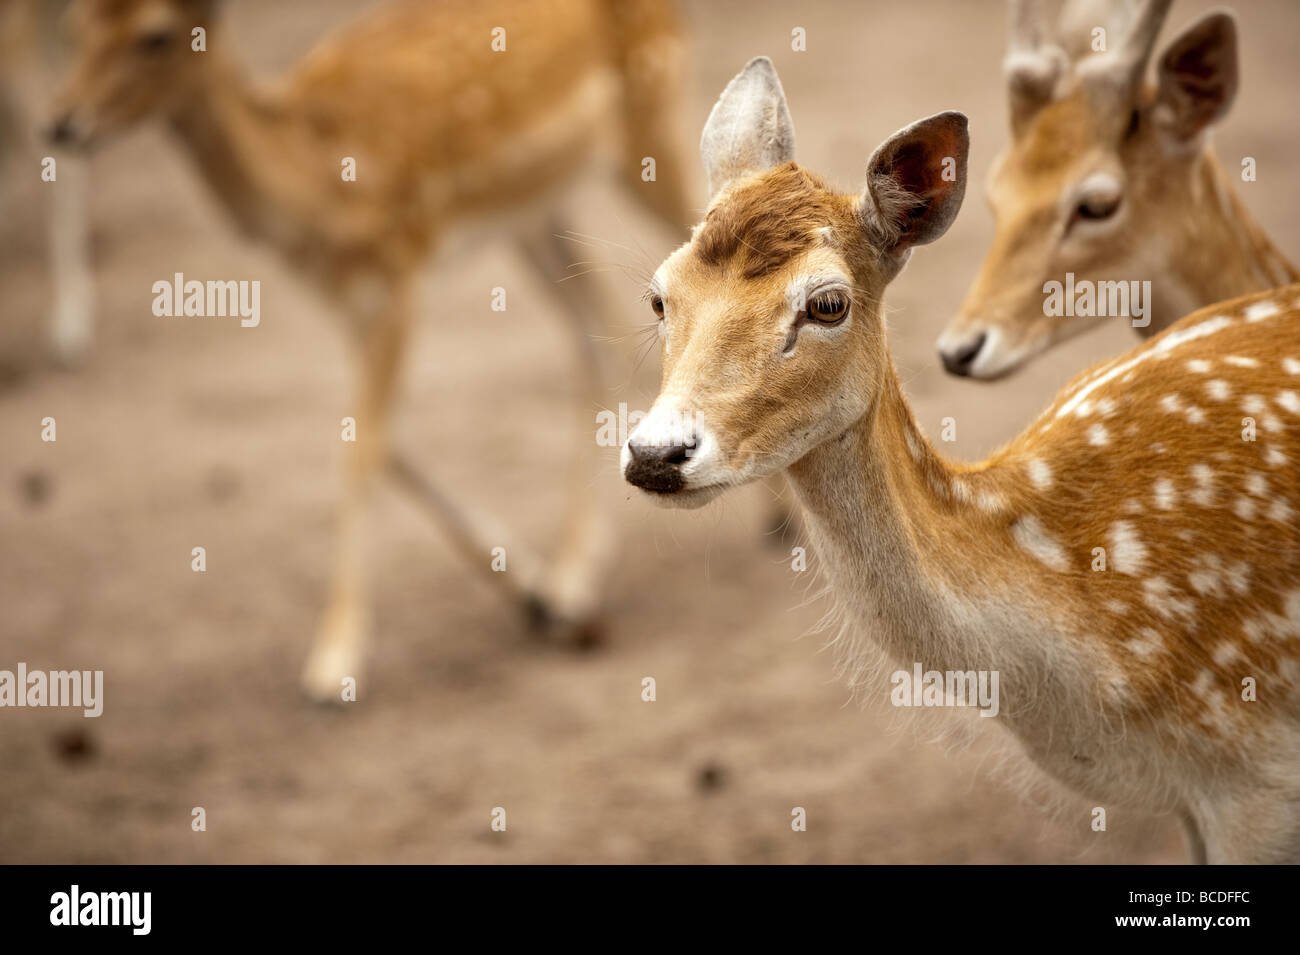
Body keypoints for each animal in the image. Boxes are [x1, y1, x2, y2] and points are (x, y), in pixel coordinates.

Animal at [49, 0, 698, 701]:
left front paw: (334, 661)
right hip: (535, 209)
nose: (61, 124)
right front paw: (537, 598)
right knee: (595, 333)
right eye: (78, 24)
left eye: (156, 35)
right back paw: (573, 578)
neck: (315, 193)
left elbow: (362, 448)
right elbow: (378, 437)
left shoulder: (398, 279)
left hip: (648, 118)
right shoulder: (344, 303)